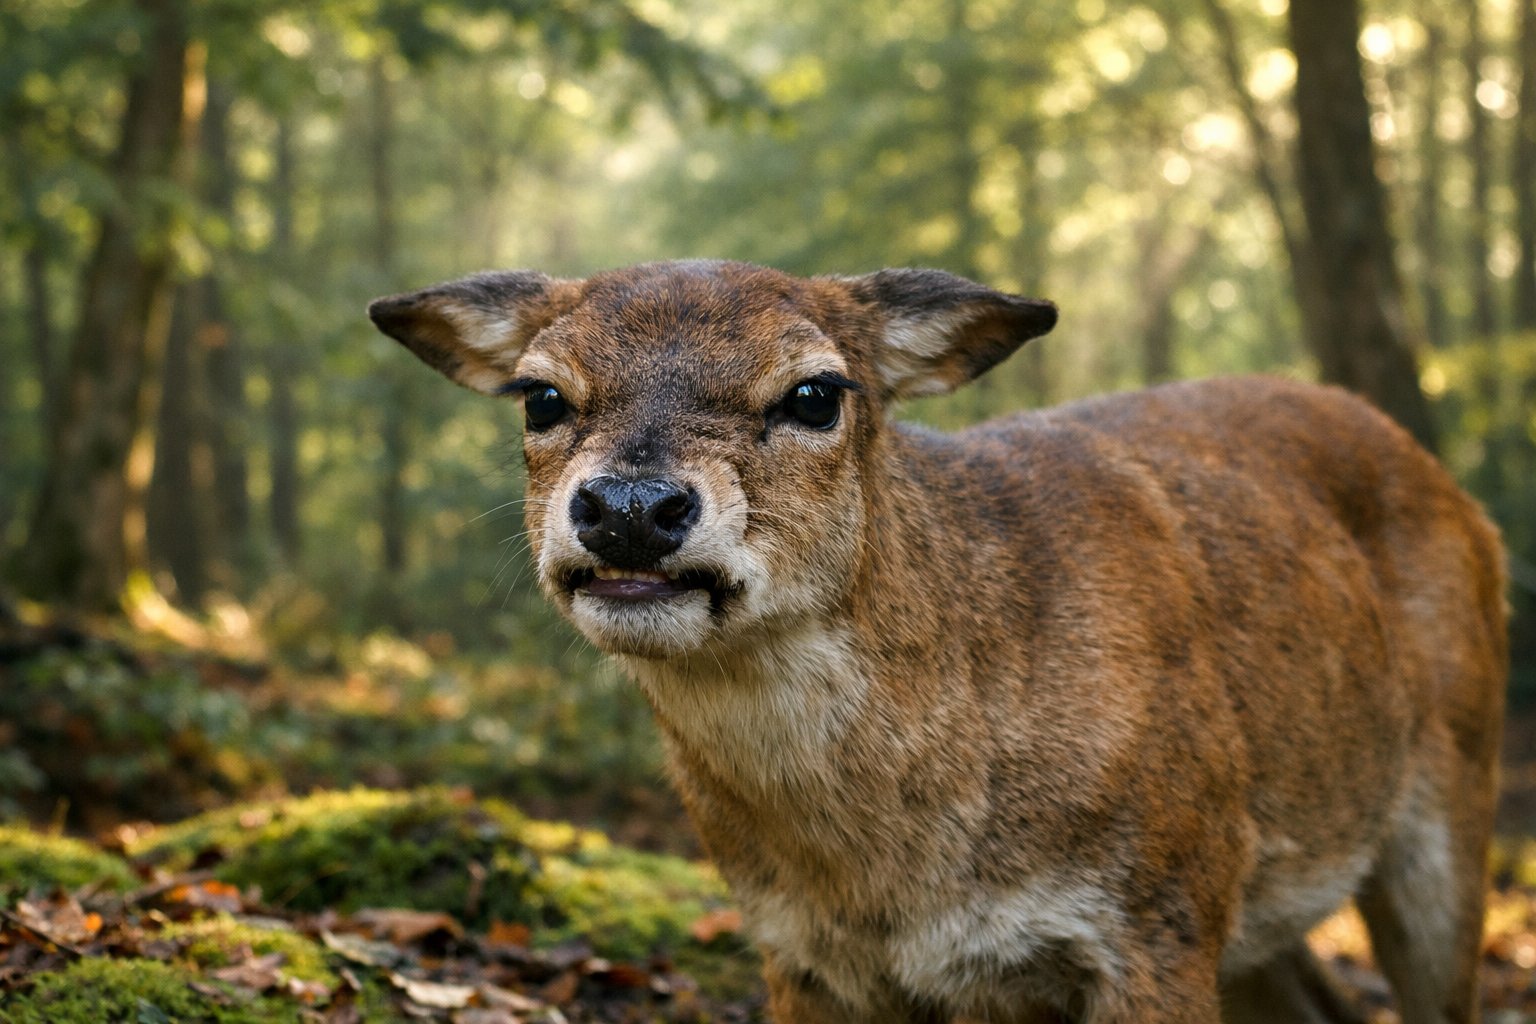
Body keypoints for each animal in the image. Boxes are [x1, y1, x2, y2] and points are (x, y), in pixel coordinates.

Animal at [369, 259, 1507, 1024]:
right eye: (541, 394)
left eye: (815, 392)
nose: (632, 509)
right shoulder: (795, 951)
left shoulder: (1162, 908)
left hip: (1447, 801)